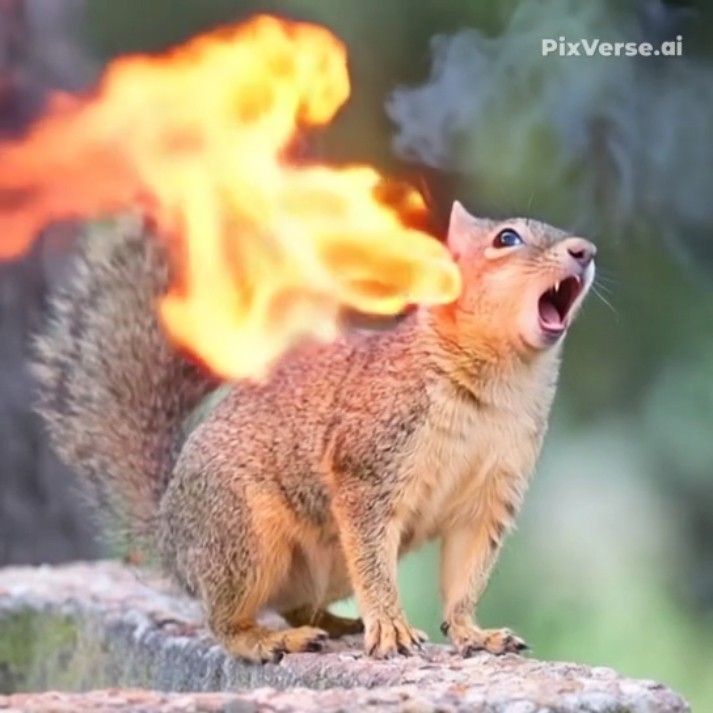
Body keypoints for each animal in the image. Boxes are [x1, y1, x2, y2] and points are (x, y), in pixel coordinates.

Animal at [33, 201, 595, 663]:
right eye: (506, 238)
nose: (585, 250)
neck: (501, 385)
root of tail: (172, 542)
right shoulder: (368, 462)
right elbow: (375, 561)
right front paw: (391, 628)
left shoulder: (490, 497)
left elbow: (466, 575)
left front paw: (474, 634)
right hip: (243, 536)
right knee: (227, 621)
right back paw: (269, 640)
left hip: (320, 560)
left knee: (299, 605)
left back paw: (338, 624)